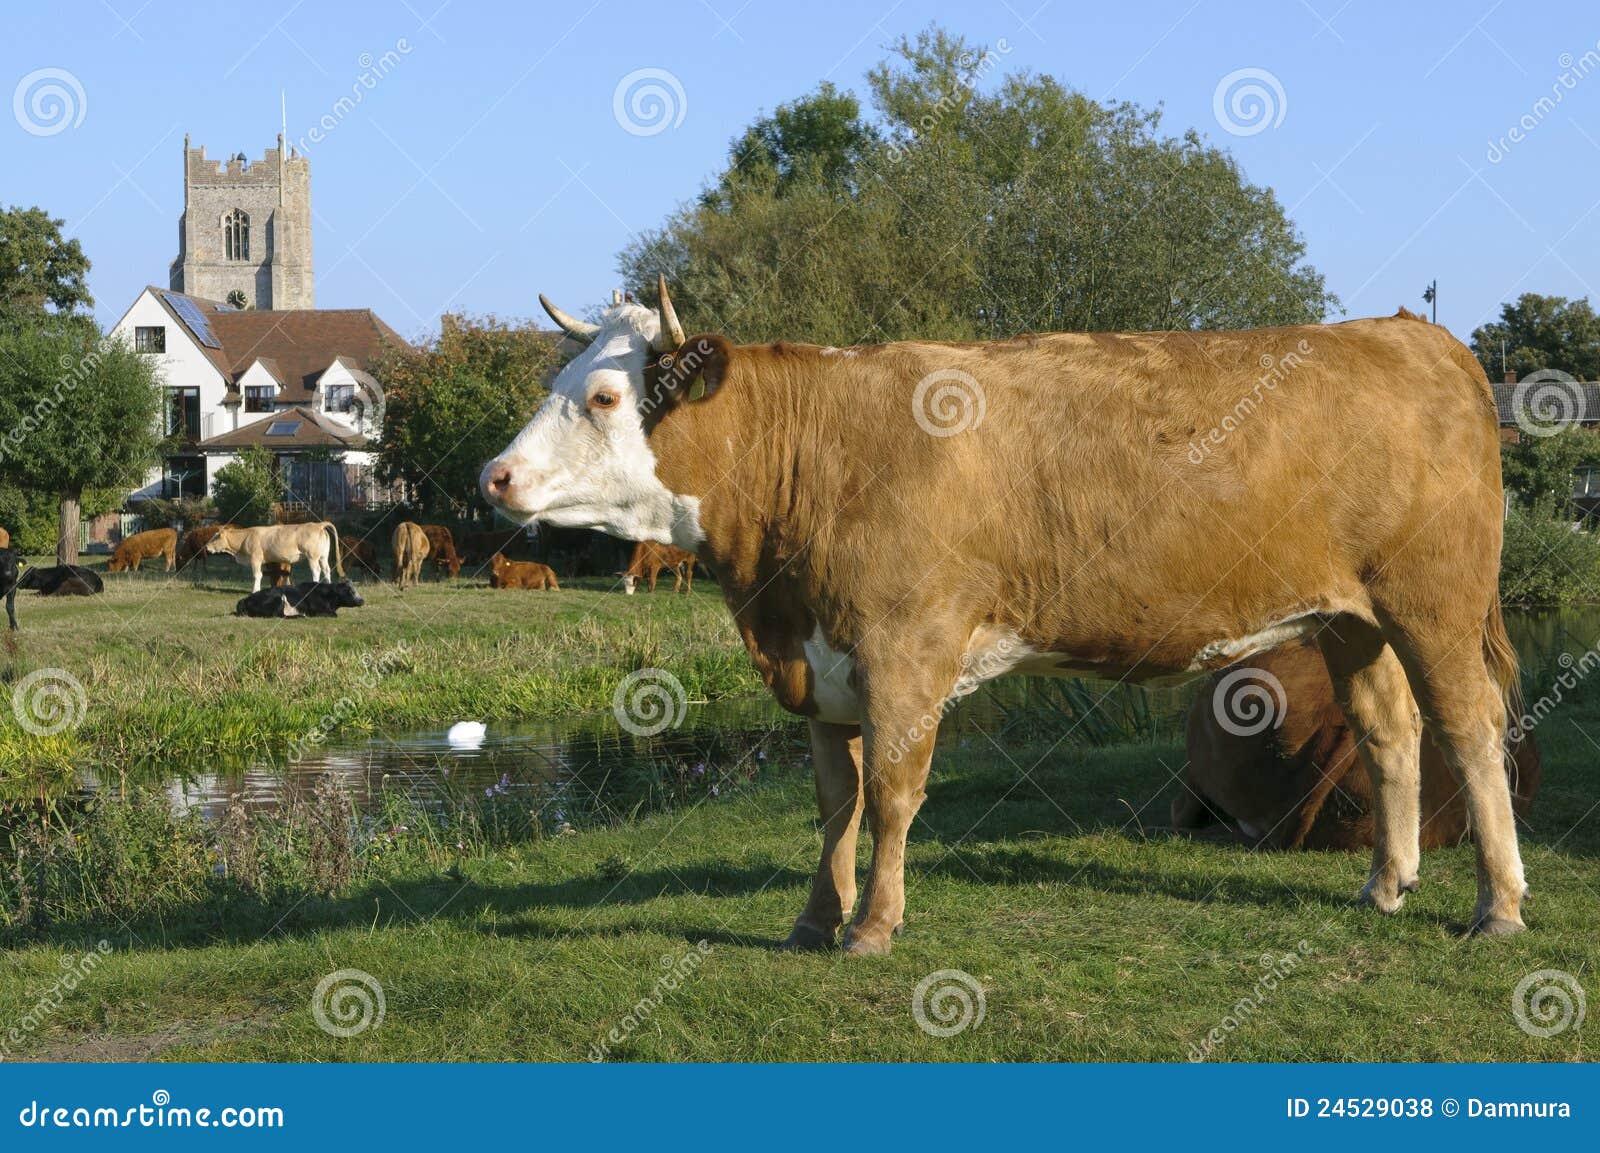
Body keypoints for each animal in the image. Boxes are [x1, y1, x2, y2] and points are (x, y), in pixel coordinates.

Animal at [204, 522, 343, 592]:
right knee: (326, 570)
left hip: (312, 556)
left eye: (215, 537)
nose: (206, 547)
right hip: (323, 556)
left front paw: (255, 590)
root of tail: (318, 524)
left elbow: (257, 575)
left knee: (316, 571)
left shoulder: (255, 558)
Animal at [236, 580, 365, 618]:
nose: (362, 600)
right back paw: (299, 616)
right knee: (278, 615)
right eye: (350, 591)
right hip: (278, 599)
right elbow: (334, 615)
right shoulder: (317, 611)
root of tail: (245, 599)